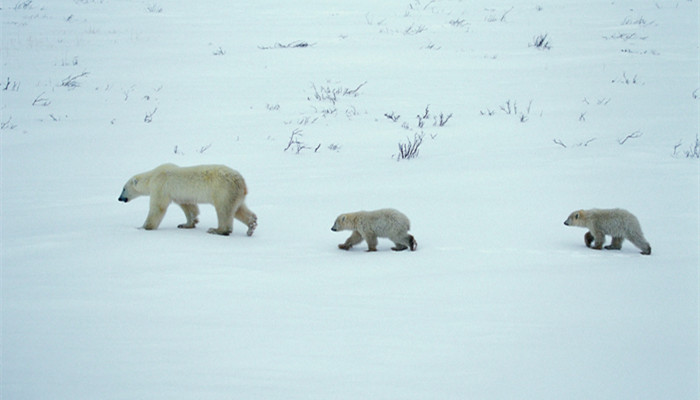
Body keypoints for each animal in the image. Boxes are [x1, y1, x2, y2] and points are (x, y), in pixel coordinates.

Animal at [119, 163, 258, 236]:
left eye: (123, 188)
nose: (119, 198)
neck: (152, 176)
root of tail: (241, 181)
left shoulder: (160, 186)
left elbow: (158, 207)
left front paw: (143, 227)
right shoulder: (181, 195)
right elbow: (189, 207)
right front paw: (186, 224)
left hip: (223, 190)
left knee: (224, 210)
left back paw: (217, 230)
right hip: (234, 194)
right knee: (238, 209)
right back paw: (251, 225)